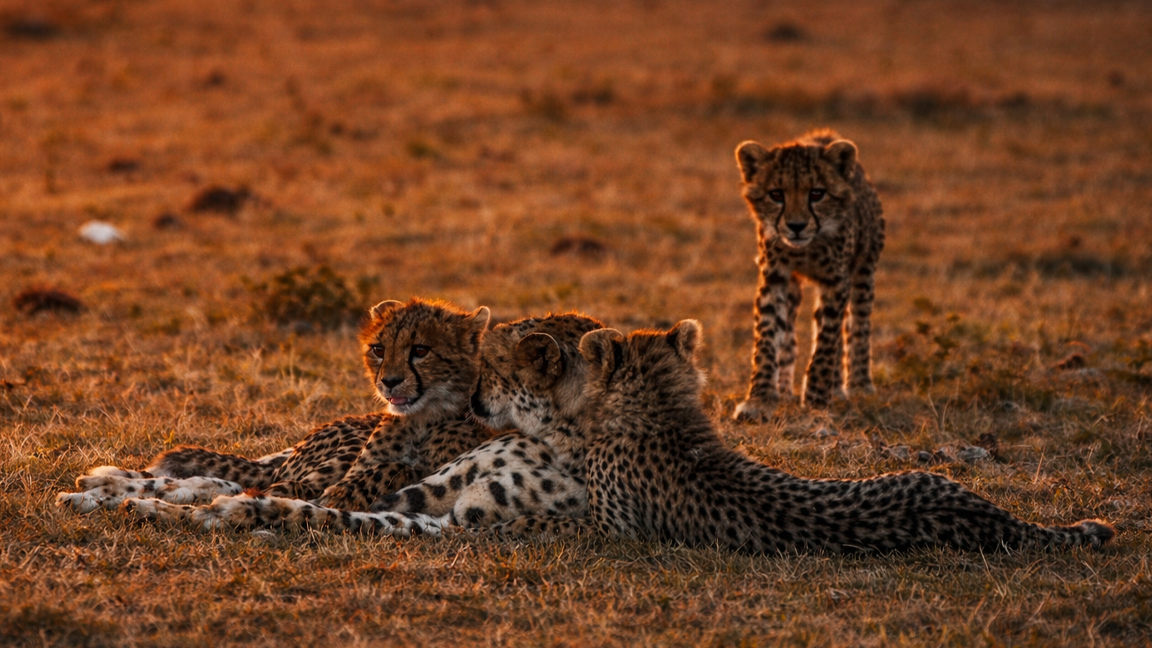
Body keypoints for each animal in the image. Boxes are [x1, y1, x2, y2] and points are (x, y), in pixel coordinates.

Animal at [732, 129, 886, 422]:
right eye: (776, 194)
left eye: (817, 193)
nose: (796, 226)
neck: (807, 249)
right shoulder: (774, 278)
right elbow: (767, 338)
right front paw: (760, 399)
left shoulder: (836, 281)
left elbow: (827, 342)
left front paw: (816, 399)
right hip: (794, 288)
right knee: (791, 336)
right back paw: (786, 389)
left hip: (864, 270)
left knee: (858, 325)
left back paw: (857, 385)